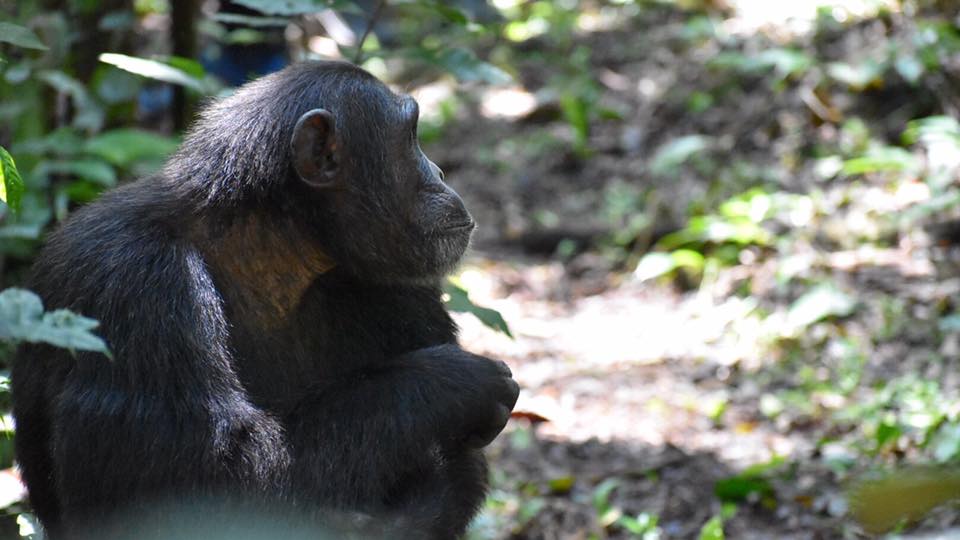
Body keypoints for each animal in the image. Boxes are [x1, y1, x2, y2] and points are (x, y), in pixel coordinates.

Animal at [12, 60, 519, 539]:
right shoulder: (136, 283)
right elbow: (188, 486)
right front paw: (451, 382)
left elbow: (455, 478)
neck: (270, 249)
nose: (439, 172)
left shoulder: (403, 288)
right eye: (411, 136)